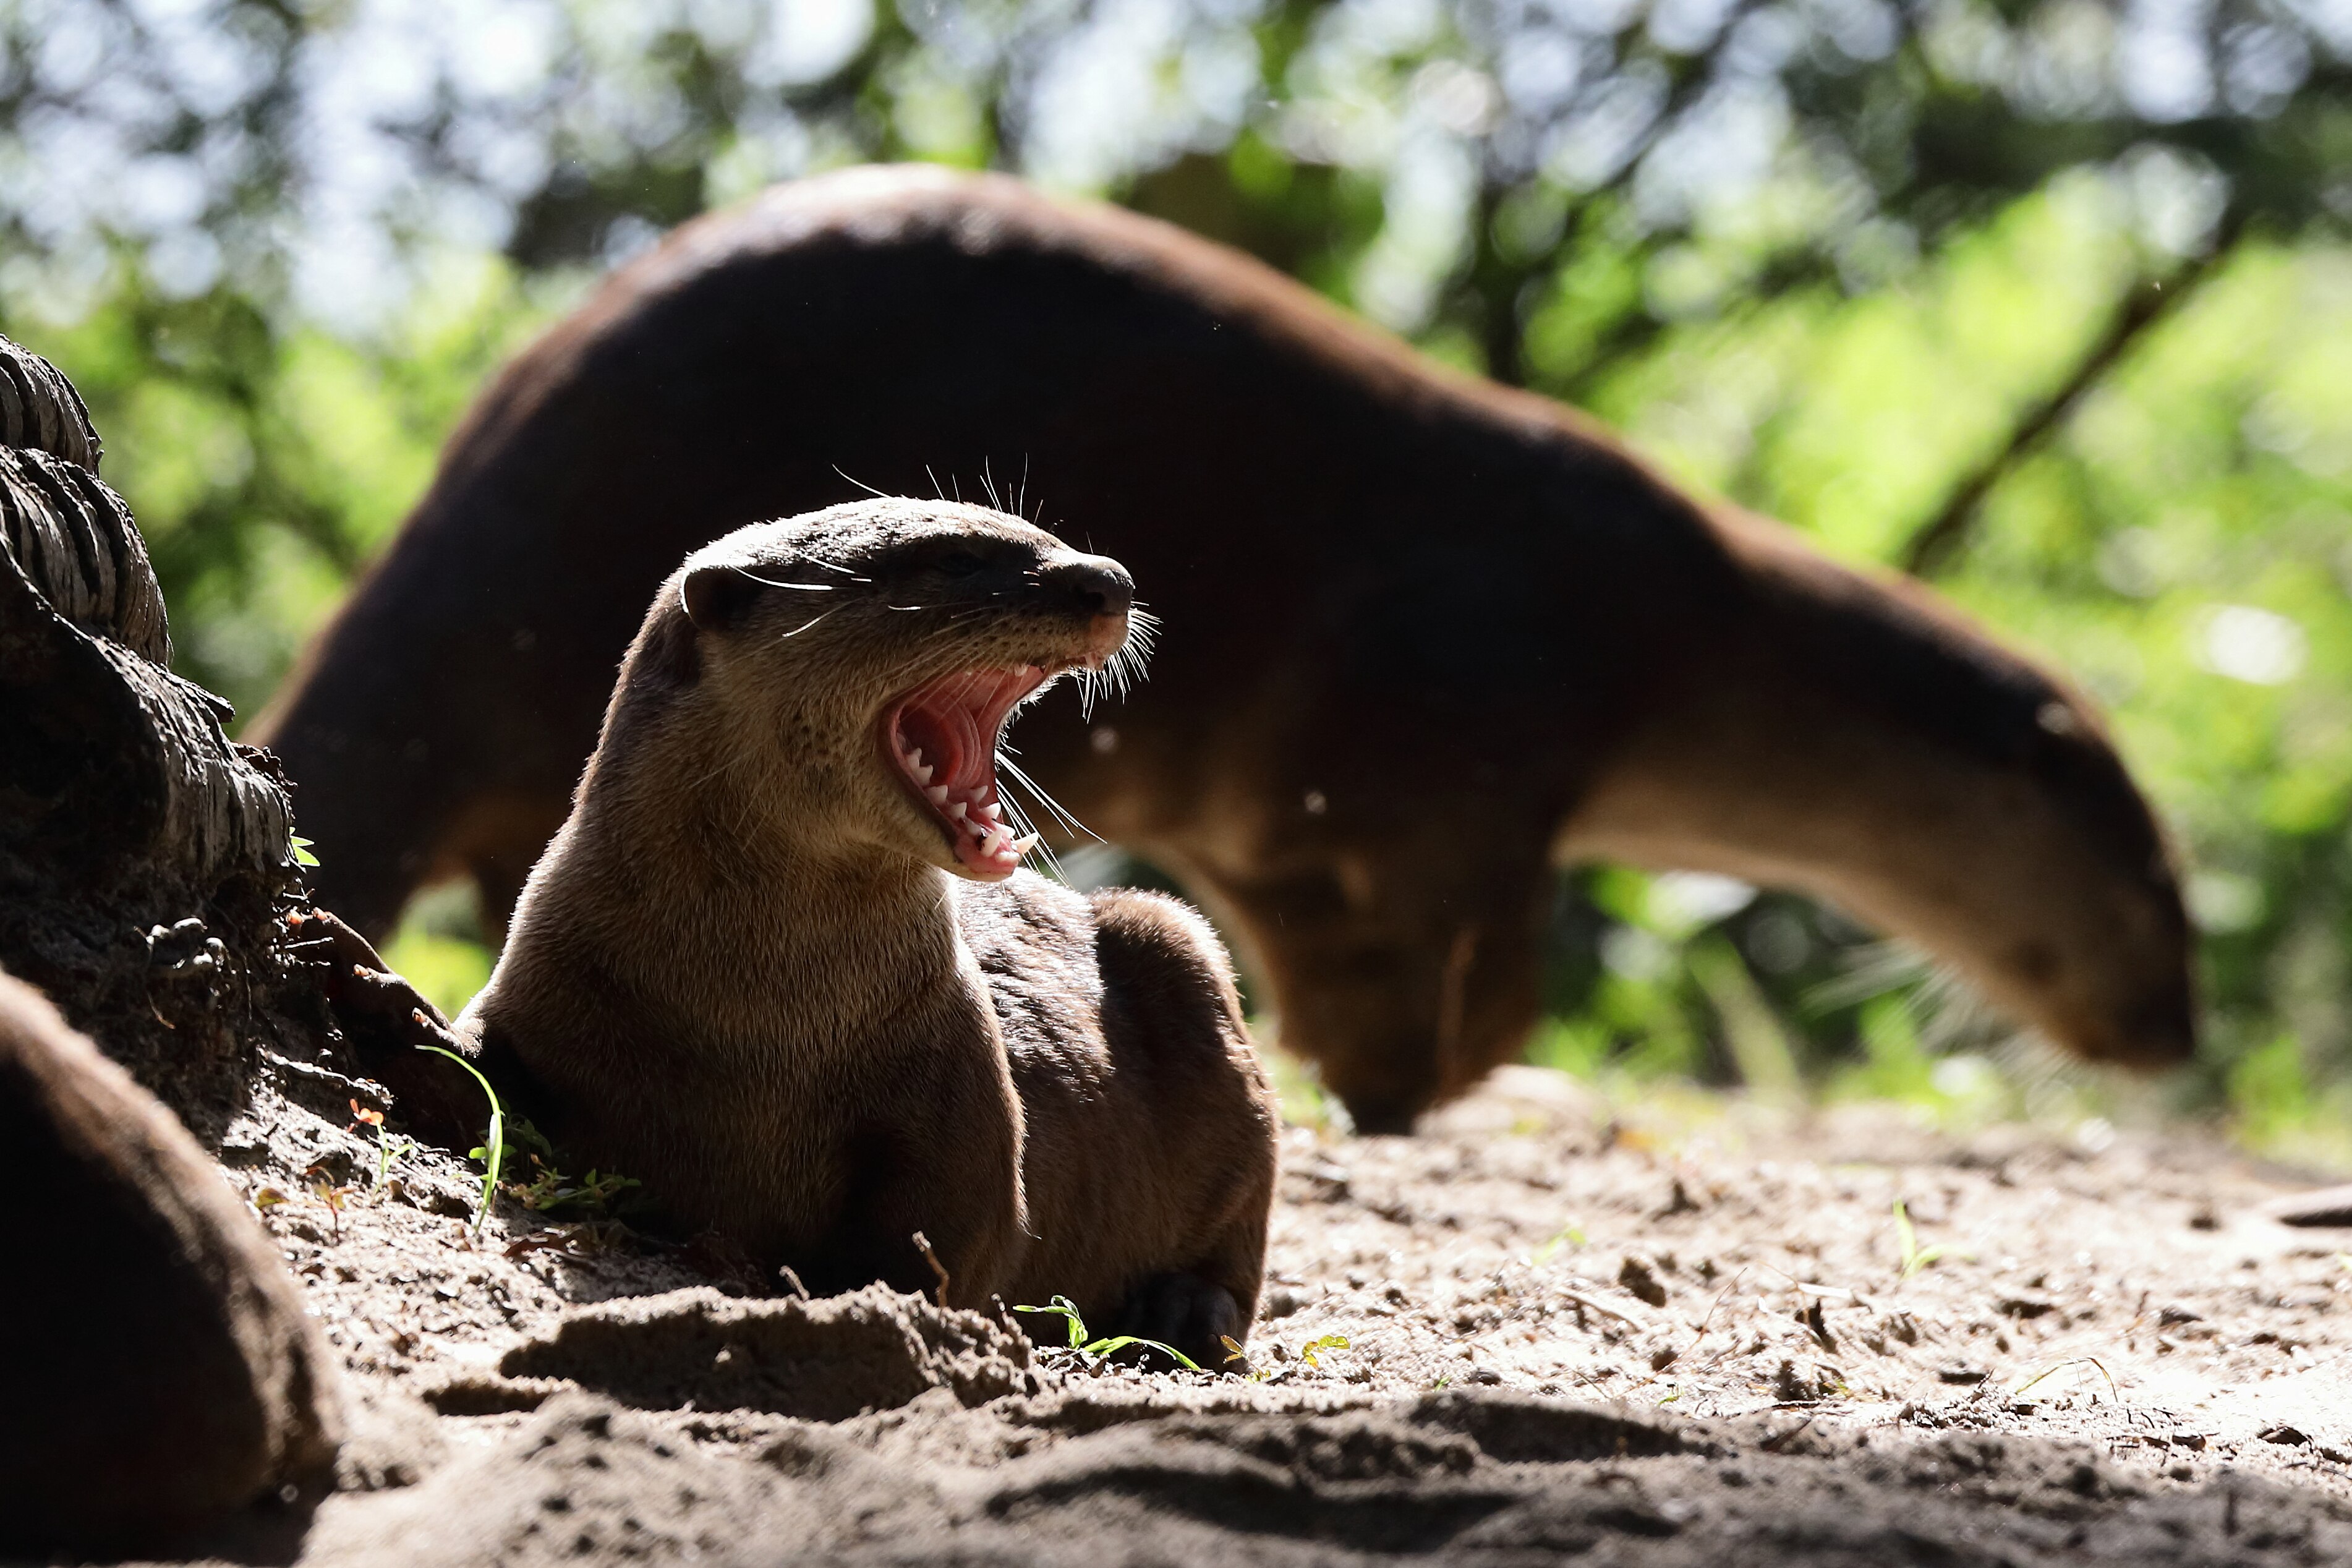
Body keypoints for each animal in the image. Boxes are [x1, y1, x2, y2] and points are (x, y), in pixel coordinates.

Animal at [255, 165, 2196, 1132]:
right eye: (2156, 889)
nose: (2176, 1028)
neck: (1660, 636)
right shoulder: (1459, 744)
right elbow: (1466, 967)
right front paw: (1432, 1090)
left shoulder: (1295, 836)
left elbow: (1341, 966)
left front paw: (1401, 1084)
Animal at [455, 500, 1276, 1365]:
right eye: (952, 559)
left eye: (1043, 534)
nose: (1109, 579)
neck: (761, 1027)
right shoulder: (539, 984)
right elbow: (481, 1056)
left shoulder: (962, 1082)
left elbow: (959, 1228)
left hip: (1178, 944)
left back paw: (1182, 1311)